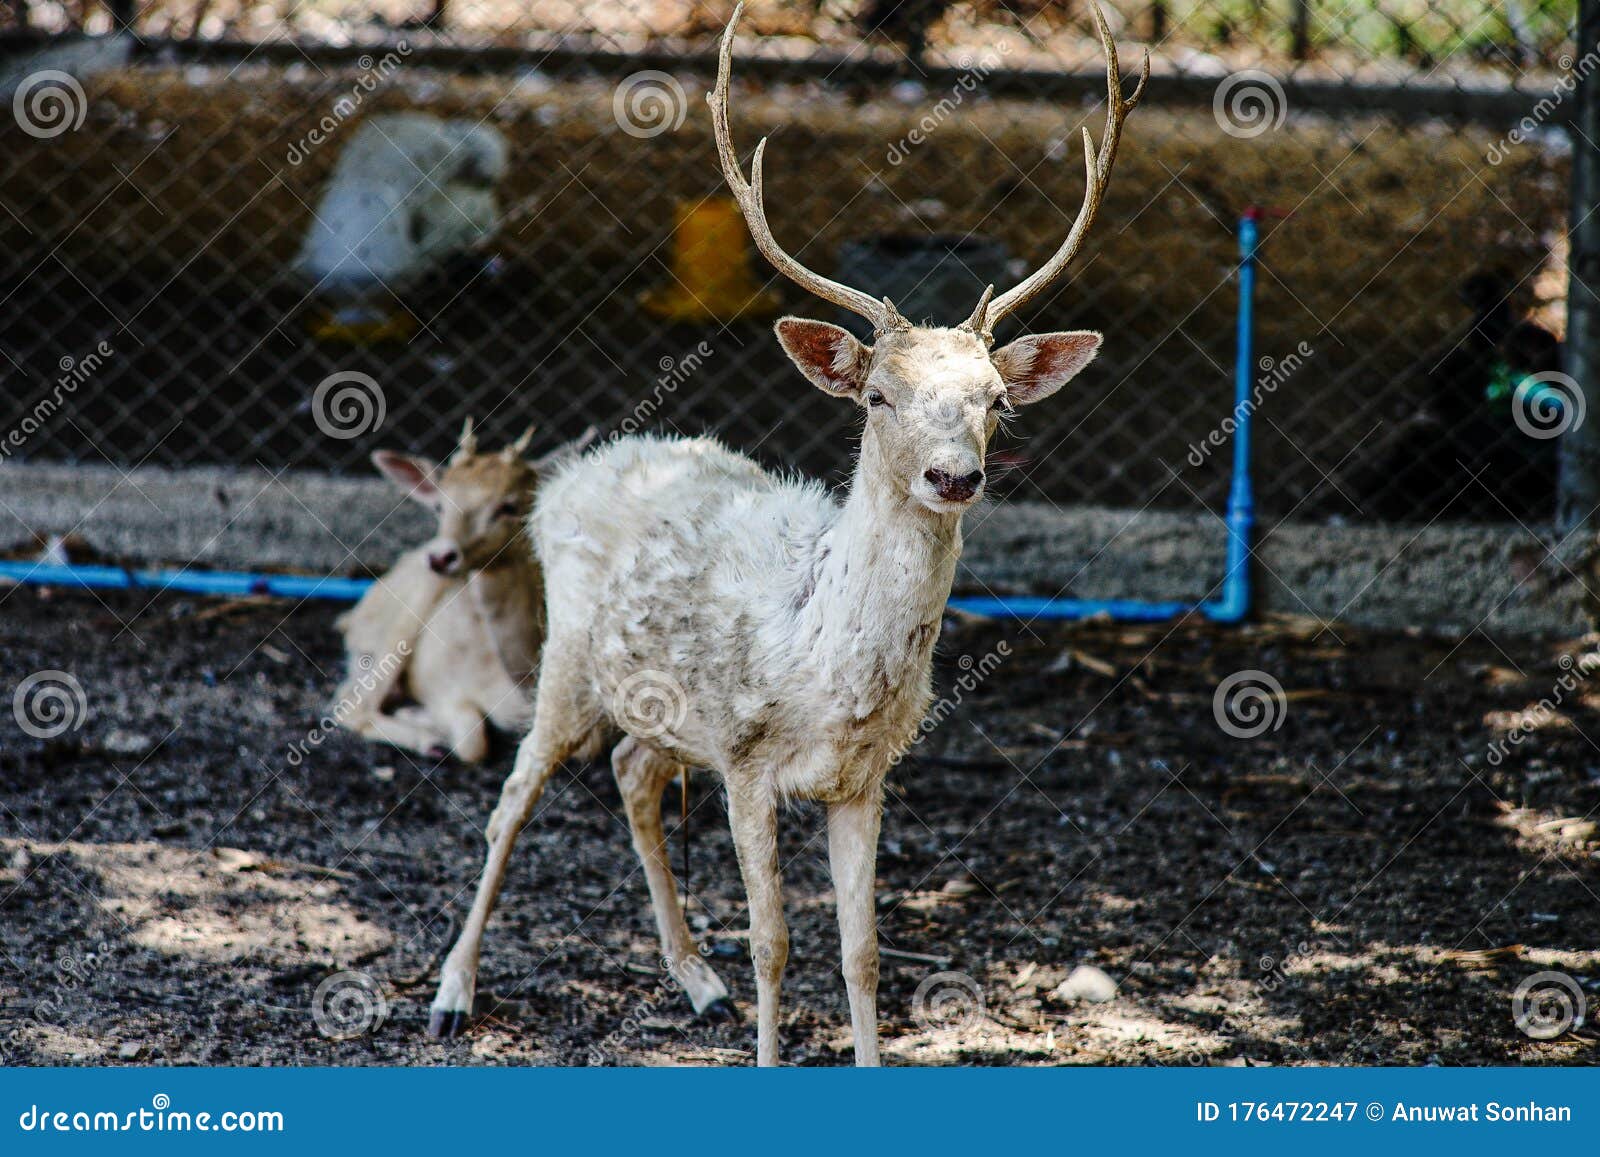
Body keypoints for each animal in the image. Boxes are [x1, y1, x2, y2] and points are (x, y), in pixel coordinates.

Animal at [336, 418, 593, 763]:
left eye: (509, 505)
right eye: (439, 506)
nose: (441, 557)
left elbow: (586, 749)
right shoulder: (440, 681)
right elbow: (472, 744)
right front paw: (428, 720)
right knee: (350, 706)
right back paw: (428, 737)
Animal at [426, 1, 1145, 1063]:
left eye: (997, 399)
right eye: (880, 395)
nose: (954, 475)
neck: (824, 672)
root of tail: (572, 473)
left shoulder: (864, 777)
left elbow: (863, 952)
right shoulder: (747, 755)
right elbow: (774, 941)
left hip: (661, 708)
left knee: (633, 771)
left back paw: (695, 981)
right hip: (567, 658)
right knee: (513, 800)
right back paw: (453, 990)